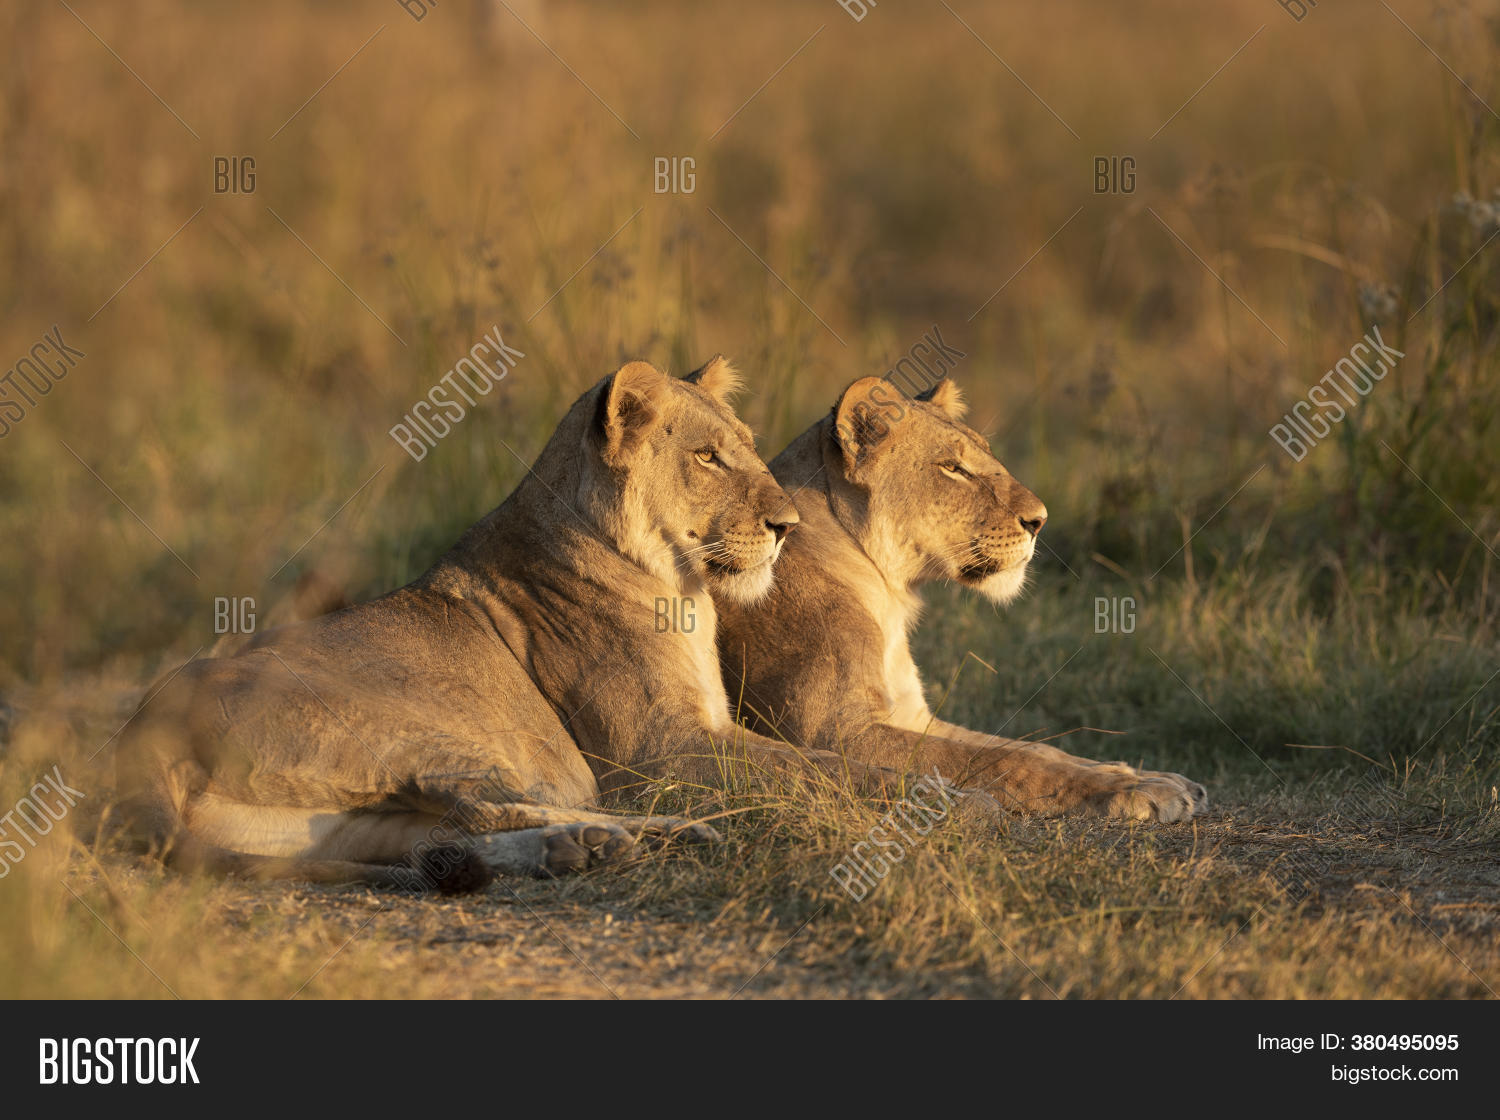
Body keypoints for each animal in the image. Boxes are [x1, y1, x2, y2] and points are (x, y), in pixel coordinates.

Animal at [116, 358, 966, 892]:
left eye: (750, 451)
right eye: (708, 458)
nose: (788, 525)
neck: (677, 582)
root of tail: (142, 727)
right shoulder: (660, 750)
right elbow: (823, 769)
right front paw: (957, 806)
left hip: (324, 824)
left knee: (444, 834)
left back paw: (582, 848)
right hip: (421, 734)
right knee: (487, 804)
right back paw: (657, 833)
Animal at [716, 375, 1208, 823]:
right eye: (953, 468)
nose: (1040, 520)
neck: (888, 596)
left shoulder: (914, 716)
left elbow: (1032, 748)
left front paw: (1142, 775)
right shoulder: (831, 732)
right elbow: (1004, 760)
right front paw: (1137, 792)